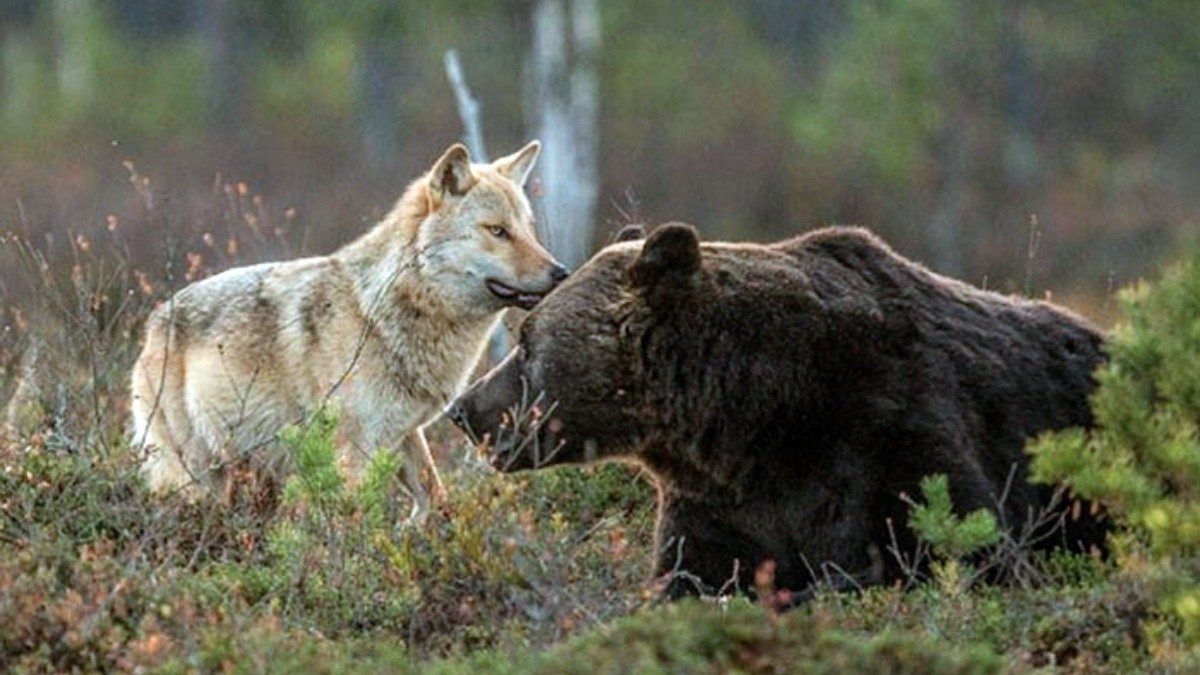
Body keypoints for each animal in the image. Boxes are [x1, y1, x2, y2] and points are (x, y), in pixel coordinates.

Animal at [447, 222, 1108, 599]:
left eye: (527, 343)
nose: (462, 408)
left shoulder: (889, 427)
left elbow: (966, 550)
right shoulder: (722, 503)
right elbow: (692, 579)